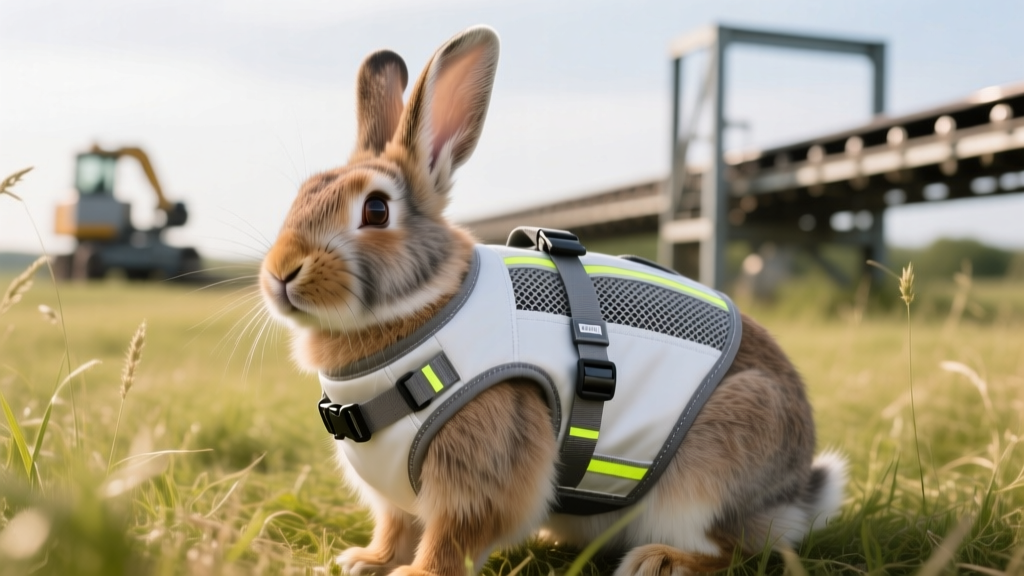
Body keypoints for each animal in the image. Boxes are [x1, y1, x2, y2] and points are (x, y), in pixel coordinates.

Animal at [259, 25, 846, 576]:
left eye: (376, 210)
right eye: (302, 195)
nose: (280, 273)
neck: (426, 310)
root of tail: (795, 493)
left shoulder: (482, 464)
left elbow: (455, 533)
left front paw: (416, 574)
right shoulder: (392, 494)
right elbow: (395, 526)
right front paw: (364, 560)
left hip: (706, 475)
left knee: (739, 549)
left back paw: (659, 561)